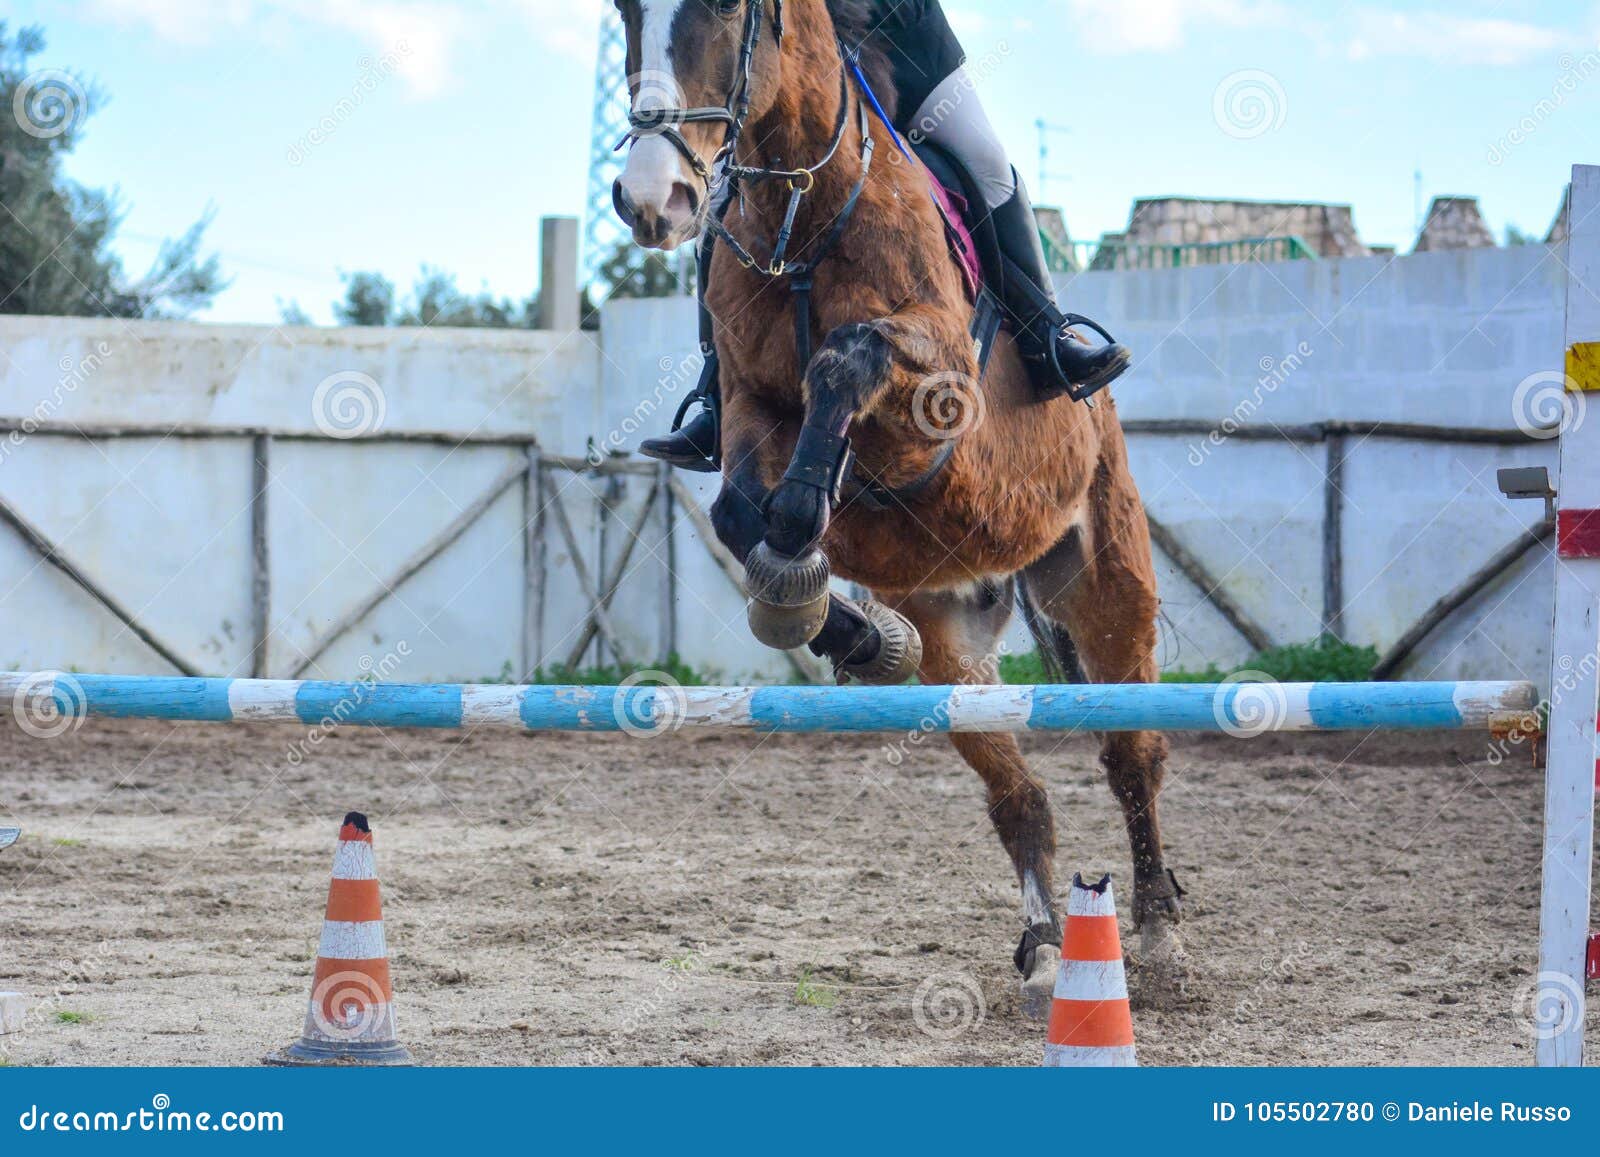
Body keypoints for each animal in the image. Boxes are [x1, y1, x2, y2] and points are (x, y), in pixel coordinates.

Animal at [610, 0, 1182, 1003]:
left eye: (725, 11)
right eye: (623, 14)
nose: (653, 199)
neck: (802, 221)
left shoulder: (939, 397)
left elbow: (851, 359)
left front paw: (808, 545)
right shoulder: (750, 407)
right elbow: (742, 515)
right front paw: (838, 622)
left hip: (1105, 578)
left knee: (1130, 754)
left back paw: (1154, 929)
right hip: (956, 632)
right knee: (1016, 790)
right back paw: (1043, 944)